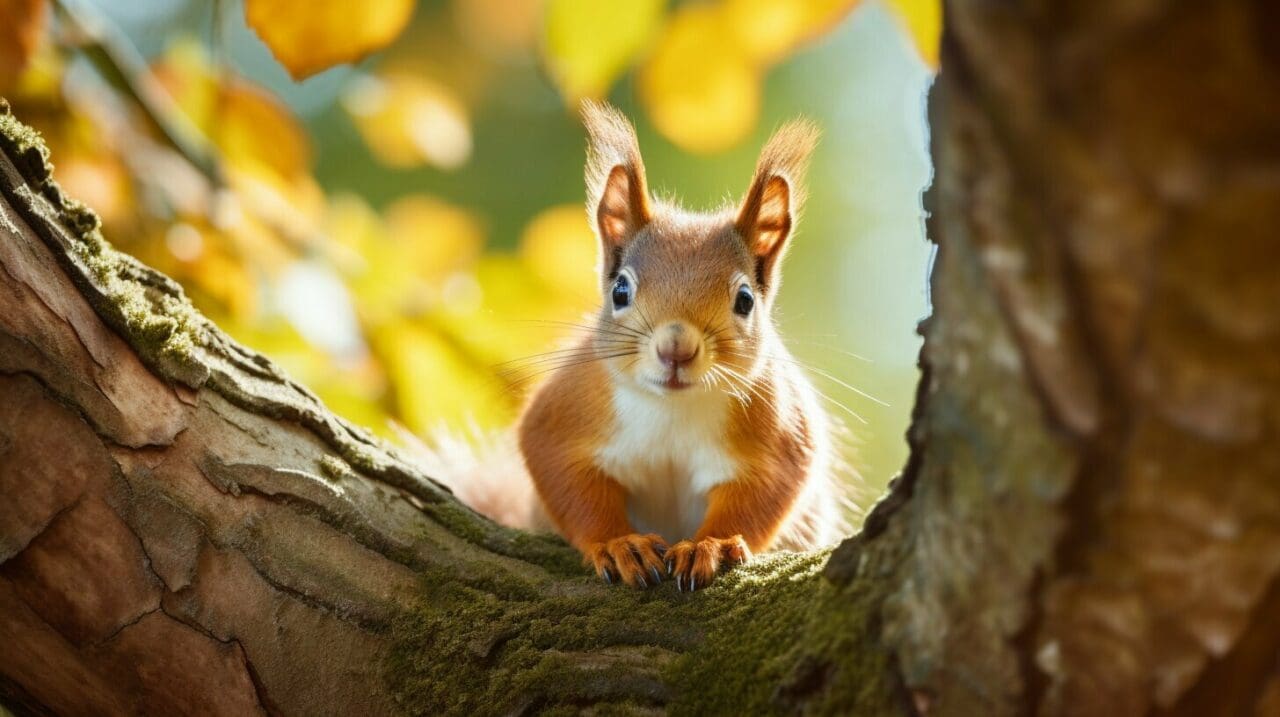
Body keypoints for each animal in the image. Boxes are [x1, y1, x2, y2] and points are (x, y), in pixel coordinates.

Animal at [414, 101, 848, 591]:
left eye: (745, 300)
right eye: (620, 290)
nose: (676, 349)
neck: (671, 410)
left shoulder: (779, 430)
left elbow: (761, 495)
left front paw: (710, 545)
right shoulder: (564, 411)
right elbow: (567, 479)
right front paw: (619, 545)